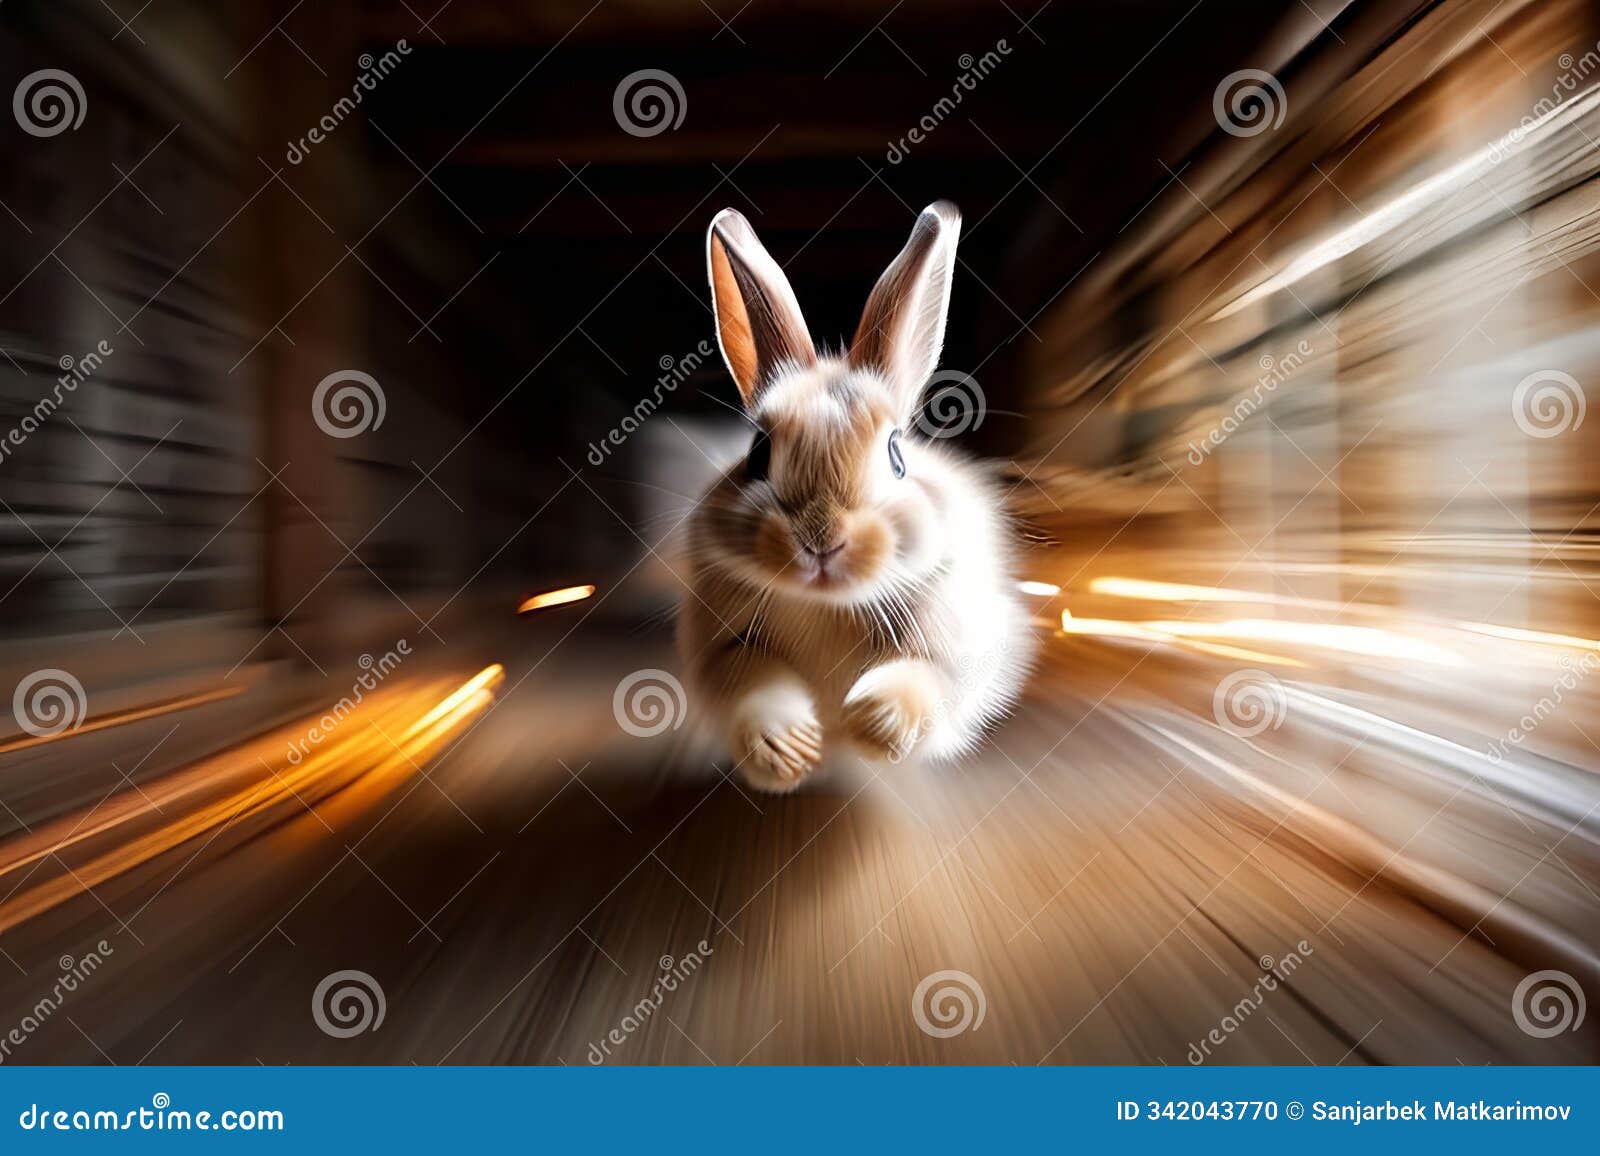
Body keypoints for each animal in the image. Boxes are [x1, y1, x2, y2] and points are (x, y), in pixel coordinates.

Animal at [676, 200, 1036, 793]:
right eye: (757, 453)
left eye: (896, 455)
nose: (821, 539)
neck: (827, 606)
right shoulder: (724, 651)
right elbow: (754, 686)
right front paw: (791, 751)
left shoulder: (955, 647)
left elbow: (920, 678)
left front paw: (871, 723)